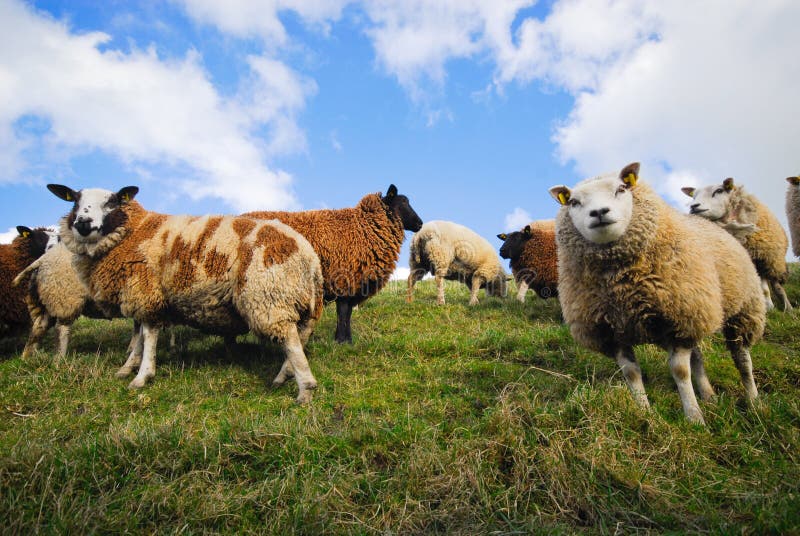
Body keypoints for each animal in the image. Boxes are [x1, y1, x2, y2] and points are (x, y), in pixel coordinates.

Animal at [48, 184, 324, 404]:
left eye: (112, 202)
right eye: (75, 201)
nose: (82, 224)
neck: (134, 230)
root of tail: (308, 255)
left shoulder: (146, 292)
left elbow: (148, 336)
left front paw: (142, 376)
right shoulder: (142, 296)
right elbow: (139, 338)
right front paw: (128, 368)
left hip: (269, 295)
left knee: (290, 339)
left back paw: (305, 389)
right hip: (298, 300)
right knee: (301, 335)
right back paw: (285, 375)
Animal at [243, 185, 422, 343]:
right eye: (402, 203)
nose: (420, 224)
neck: (363, 228)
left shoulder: (353, 283)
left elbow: (347, 313)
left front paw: (347, 340)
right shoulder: (343, 278)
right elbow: (342, 312)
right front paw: (341, 341)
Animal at [549, 162, 765, 425]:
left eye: (621, 189)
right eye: (573, 202)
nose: (599, 212)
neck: (623, 288)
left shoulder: (678, 319)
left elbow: (680, 371)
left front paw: (694, 418)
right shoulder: (613, 331)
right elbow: (631, 374)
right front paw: (644, 412)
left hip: (739, 310)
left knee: (742, 359)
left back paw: (753, 400)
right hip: (693, 315)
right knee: (698, 357)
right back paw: (708, 395)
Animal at [682, 178, 792, 311]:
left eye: (719, 190)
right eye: (694, 196)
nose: (693, 206)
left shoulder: (765, 257)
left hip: (773, 260)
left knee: (775, 284)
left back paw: (785, 306)